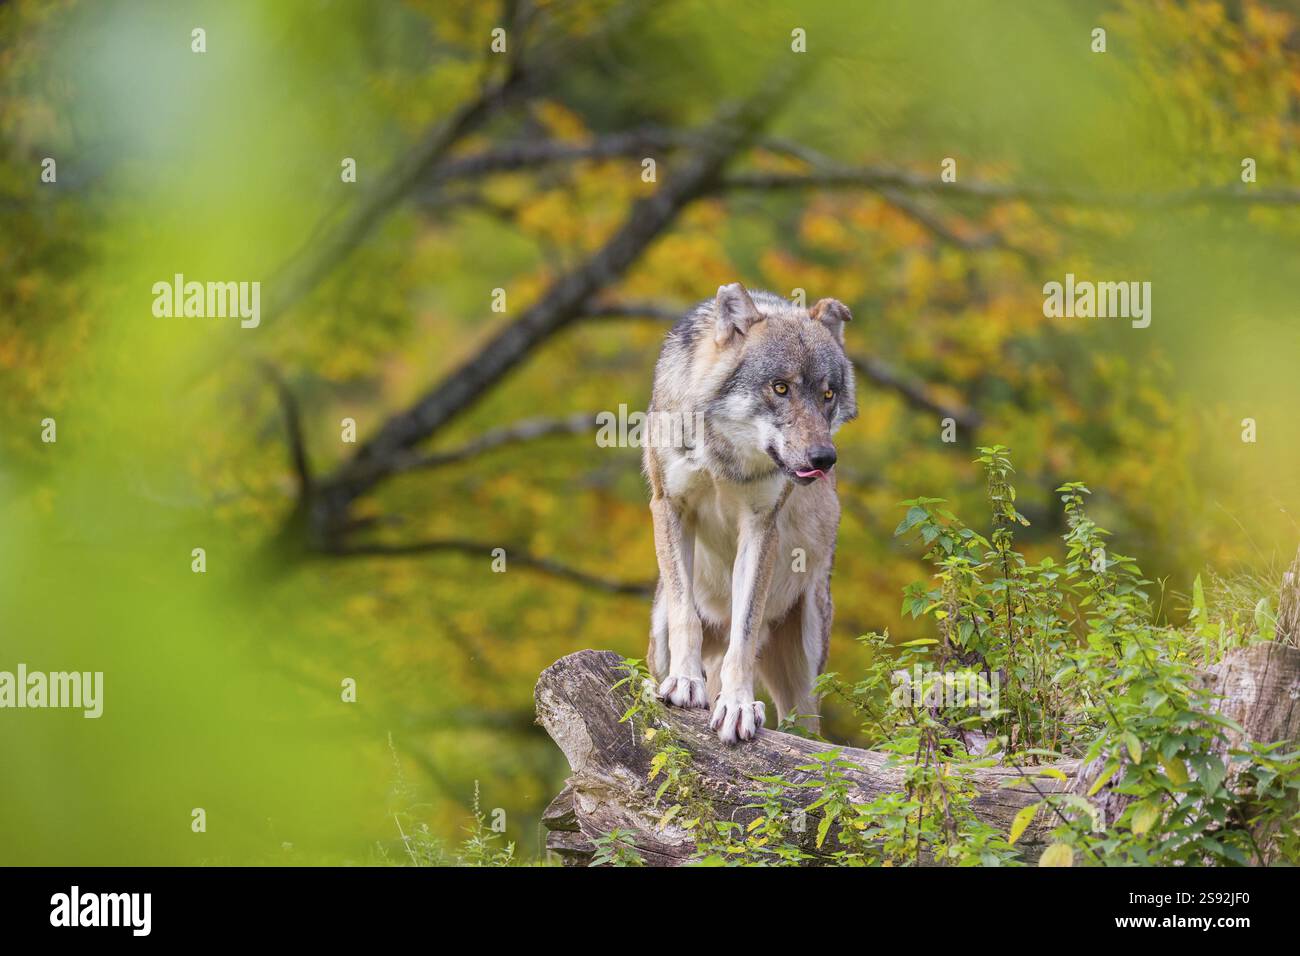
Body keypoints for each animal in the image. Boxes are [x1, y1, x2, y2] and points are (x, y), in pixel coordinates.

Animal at [644, 282, 856, 743]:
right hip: (658, 635)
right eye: (780, 388)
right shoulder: (669, 506)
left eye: (828, 394)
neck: (726, 454)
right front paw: (686, 683)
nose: (825, 458)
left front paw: (738, 707)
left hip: (807, 663)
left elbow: (743, 632)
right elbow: (686, 612)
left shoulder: (761, 527)